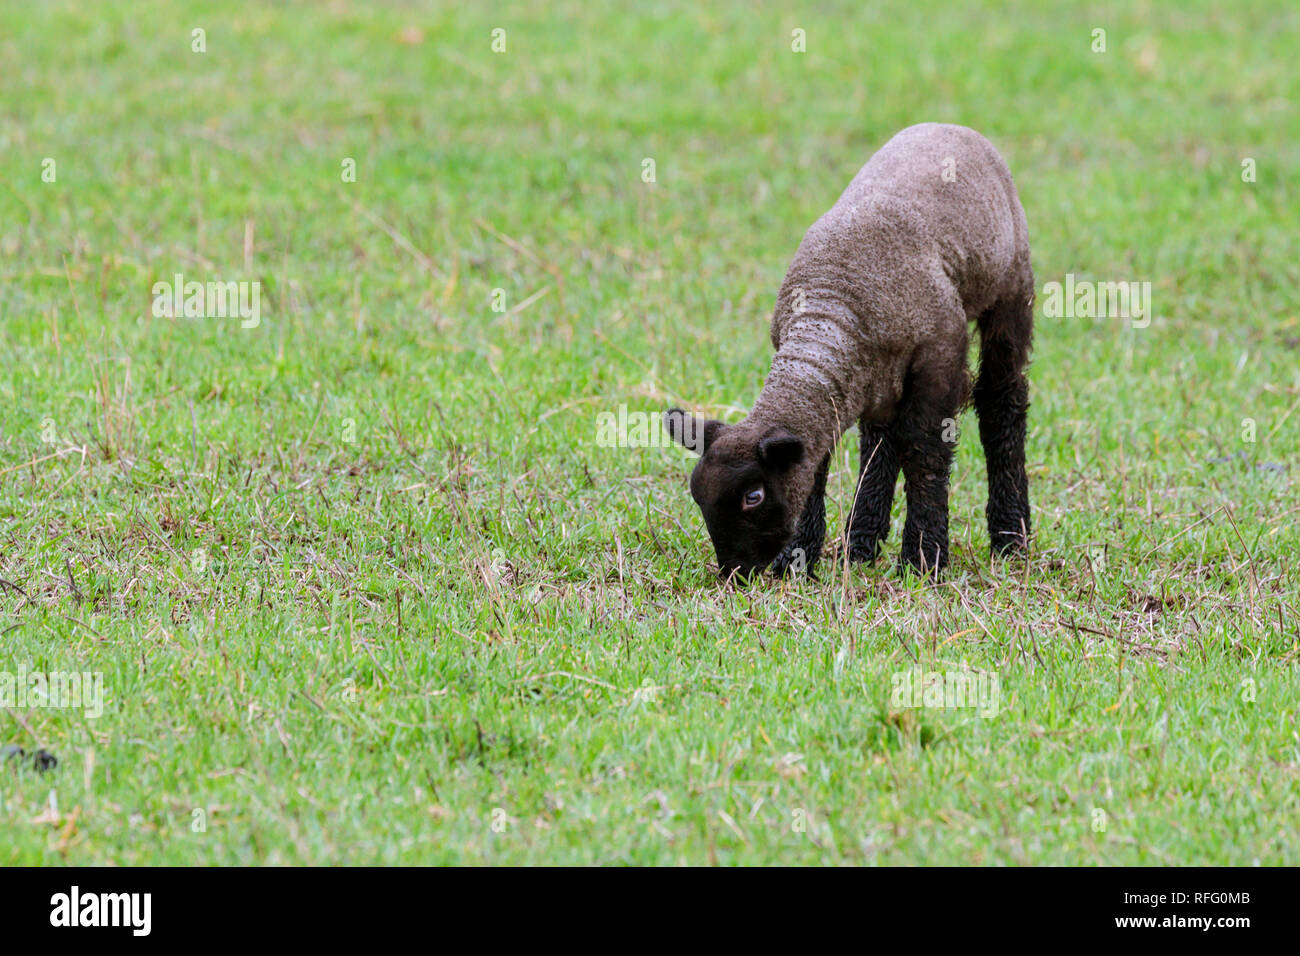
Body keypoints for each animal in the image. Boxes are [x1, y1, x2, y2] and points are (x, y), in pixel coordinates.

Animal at [665, 123, 1033, 581]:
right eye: (698, 497)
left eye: (753, 496)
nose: (735, 571)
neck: (831, 308)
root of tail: (949, 126)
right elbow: (818, 462)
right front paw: (797, 559)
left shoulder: (938, 361)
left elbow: (925, 454)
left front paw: (924, 559)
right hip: (879, 377)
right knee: (880, 438)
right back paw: (861, 541)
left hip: (1011, 287)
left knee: (1003, 400)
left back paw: (1011, 536)